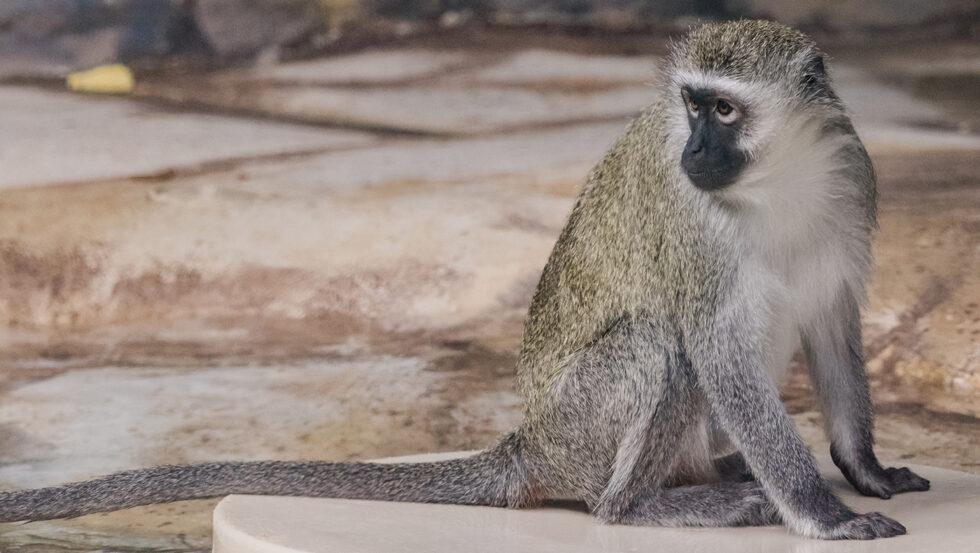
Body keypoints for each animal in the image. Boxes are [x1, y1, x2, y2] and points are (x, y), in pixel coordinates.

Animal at [0, 20, 930, 539]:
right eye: (694, 106)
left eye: (725, 111)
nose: (695, 152)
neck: (778, 177)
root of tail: (533, 445)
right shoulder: (696, 232)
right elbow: (716, 351)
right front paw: (826, 514)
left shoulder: (853, 179)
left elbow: (832, 322)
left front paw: (865, 469)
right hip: (580, 428)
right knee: (655, 347)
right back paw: (644, 507)